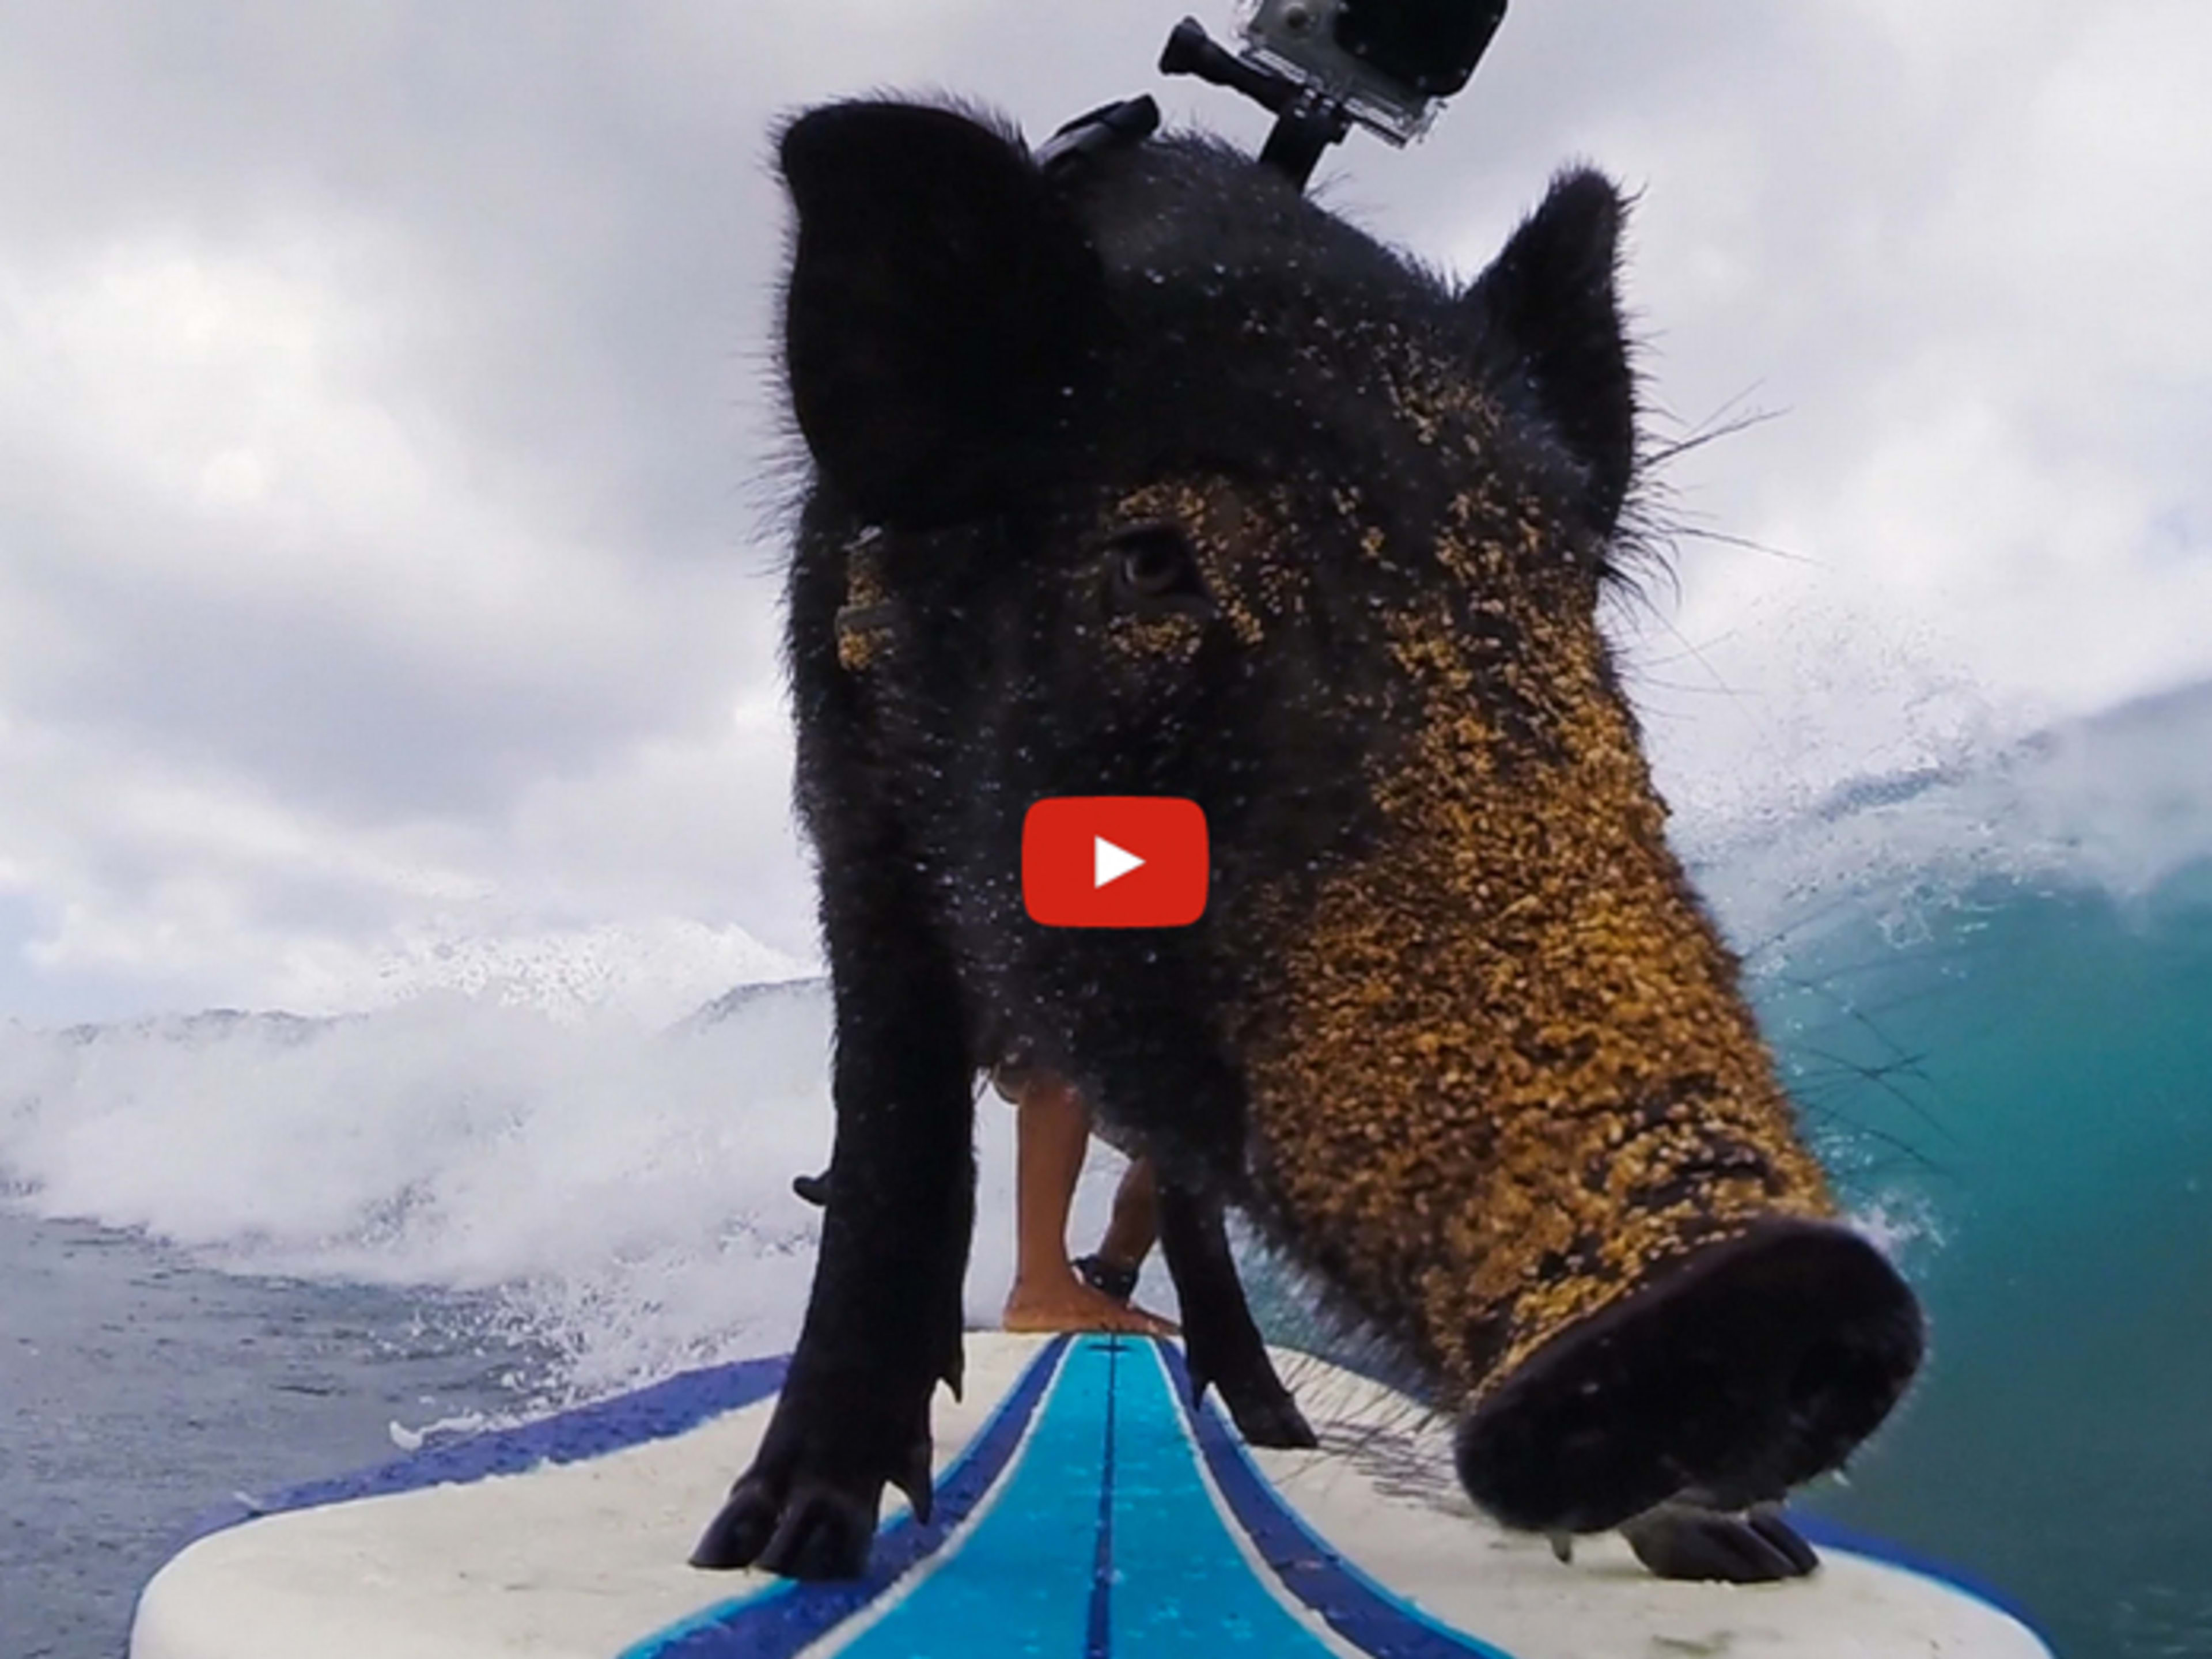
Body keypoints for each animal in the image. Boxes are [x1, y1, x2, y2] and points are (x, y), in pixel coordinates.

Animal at [691, 99, 1923, 1586]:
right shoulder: (854, 802)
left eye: (1567, 578)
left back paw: (1277, 1424)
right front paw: (777, 1545)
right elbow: (891, 1130)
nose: (1763, 1283)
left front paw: (1751, 1553)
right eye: (1150, 556)